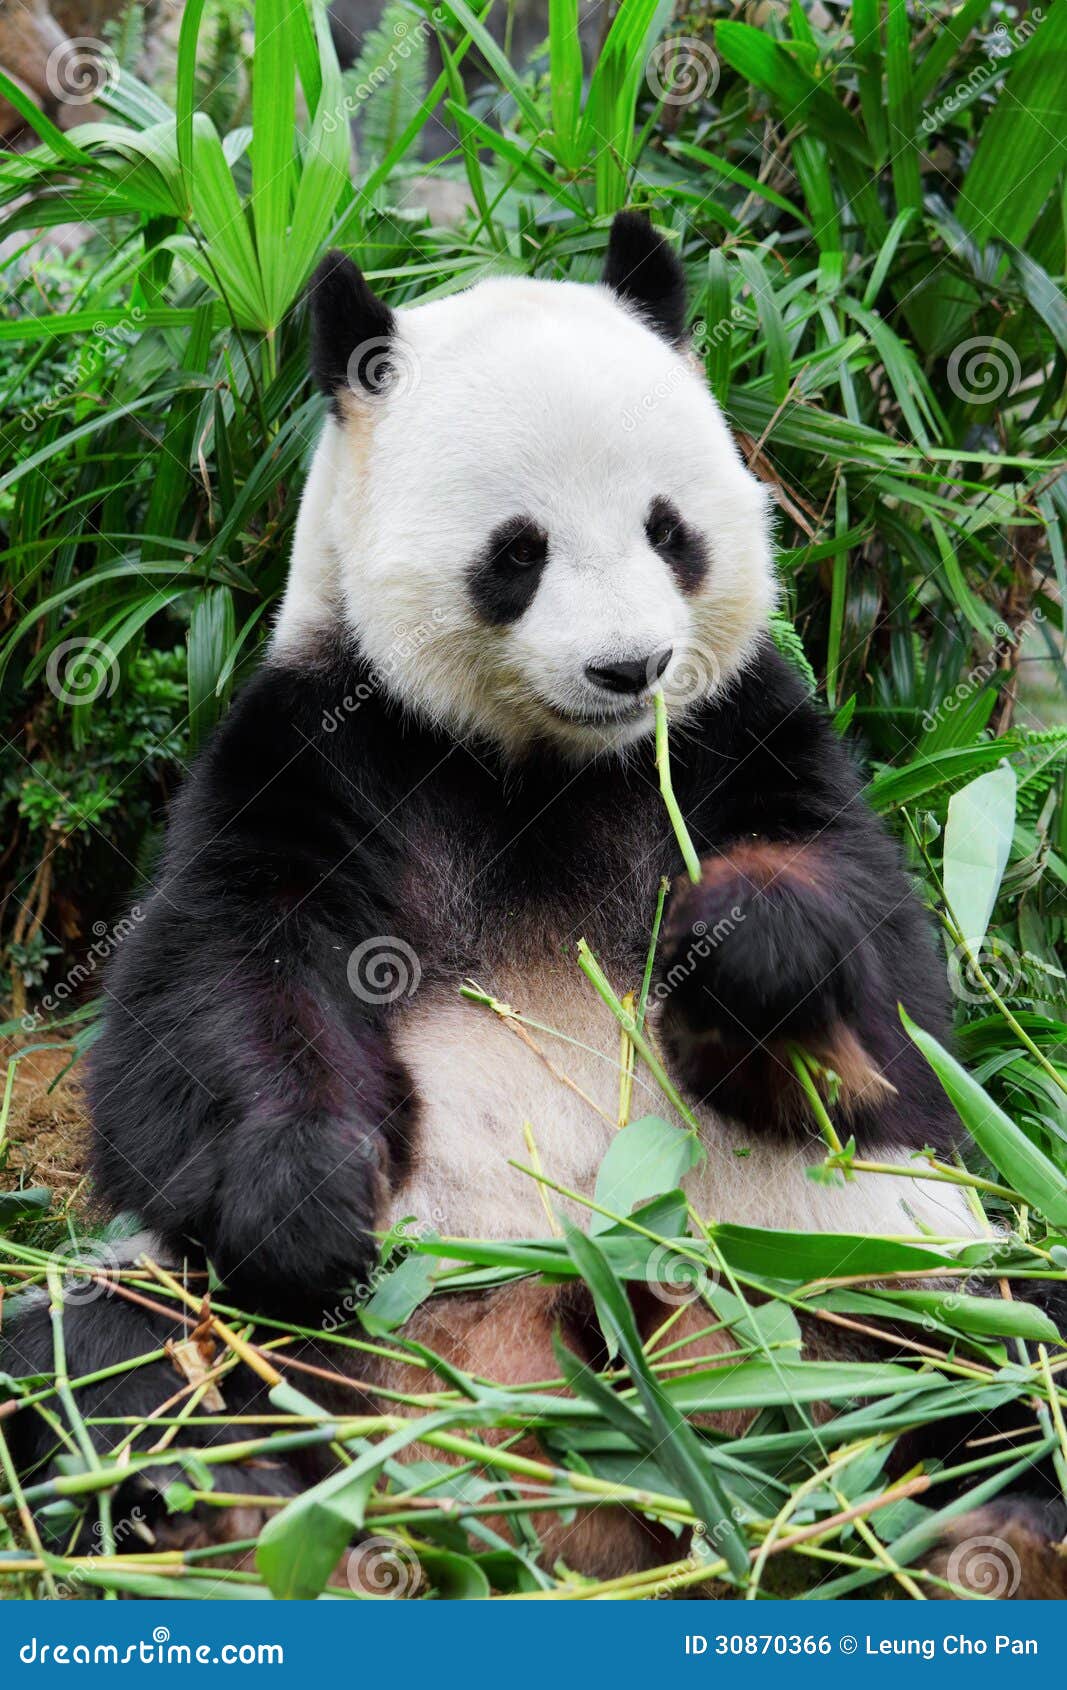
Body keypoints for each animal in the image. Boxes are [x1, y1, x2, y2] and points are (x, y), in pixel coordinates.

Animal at [3, 212, 1064, 1596]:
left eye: (669, 531)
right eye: (517, 552)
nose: (629, 666)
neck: (546, 768)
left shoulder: (741, 731)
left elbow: (889, 1013)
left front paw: (746, 946)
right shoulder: (320, 746)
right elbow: (215, 984)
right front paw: (306, 1193)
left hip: (858, 1276)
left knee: (997, 1350)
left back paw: (991, 1526)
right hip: (308, 1341)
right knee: (103, 1361)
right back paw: (232, 1514)